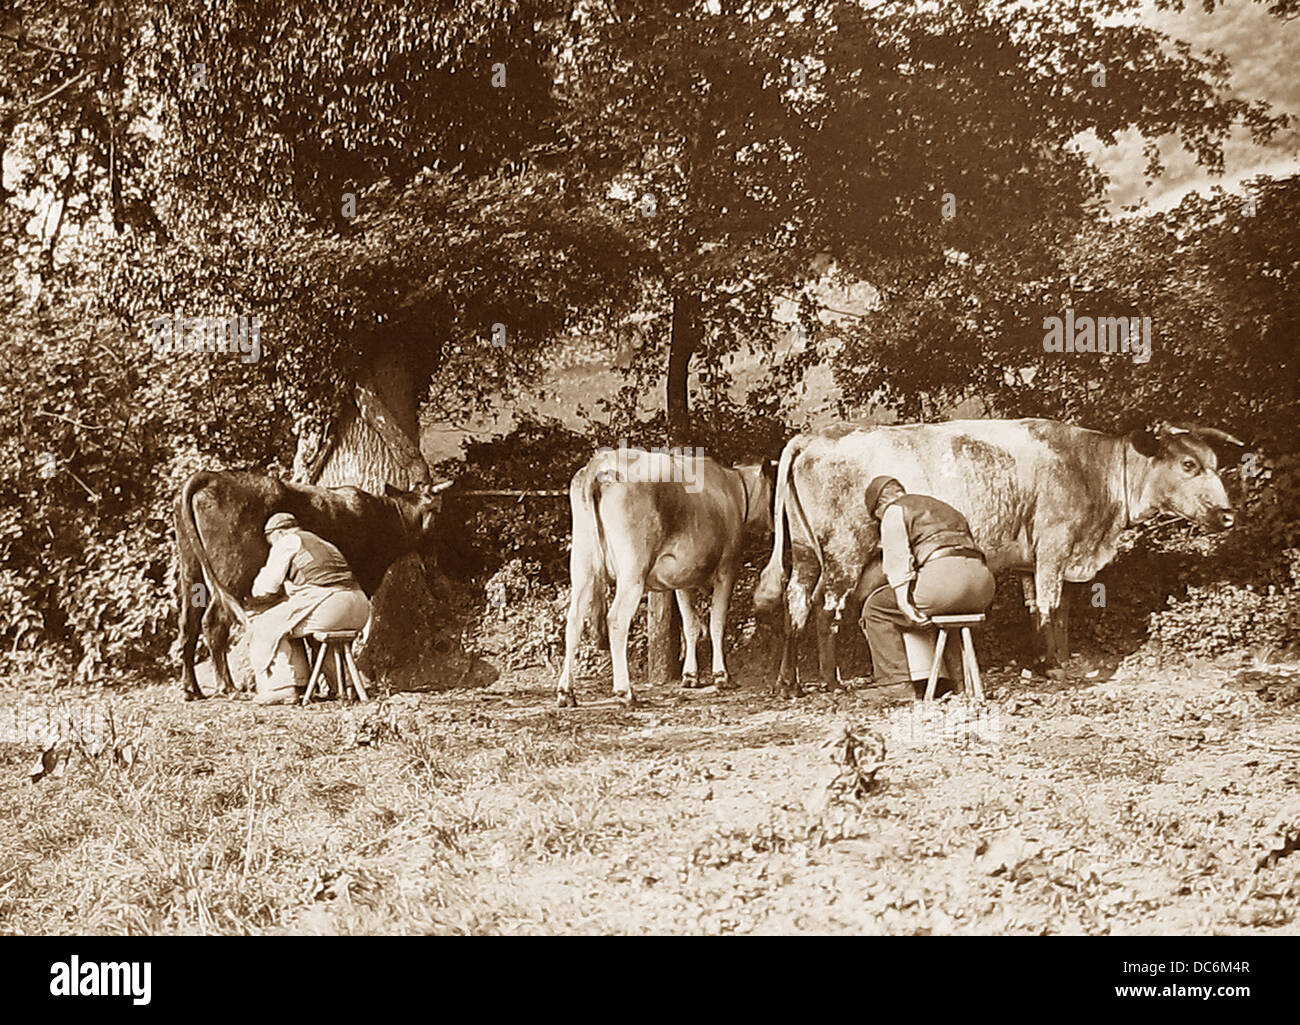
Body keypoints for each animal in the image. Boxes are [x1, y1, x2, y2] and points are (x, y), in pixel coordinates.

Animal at [175, 470, 450, 700]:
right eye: (437, 510)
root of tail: (210, 476)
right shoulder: (361, 578)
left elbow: (313, 640)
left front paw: (319, 687)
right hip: (232, 571)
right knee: (214, 622)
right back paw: (227, 687)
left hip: (191, 570)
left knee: (188, 624)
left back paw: (191, 690)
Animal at [555, 447, 775, 708]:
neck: (734, 490)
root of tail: (599, 465)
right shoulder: (727, 569)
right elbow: (716, 623)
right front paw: (722, 676)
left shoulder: (682, 578)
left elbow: (691, 625)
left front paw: (690, 676)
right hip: (632, 572)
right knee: (616, 620)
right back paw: (625, 692)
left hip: (583, 565)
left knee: (574, 620)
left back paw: (566, 692)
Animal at [753, 419, 1243, 695]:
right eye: (1188, 465)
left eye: (1216, 463)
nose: (1228, 514)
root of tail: (815, 435)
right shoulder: (1054, 544)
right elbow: (1051, 605)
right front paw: (1053, 667)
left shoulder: (1034, 557)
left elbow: (1045, 608)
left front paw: (1051, 660)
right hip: (844, 550)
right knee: (825, 609)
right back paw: (831, 680)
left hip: (807, 552)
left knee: (796, 602)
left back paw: (788, 684)